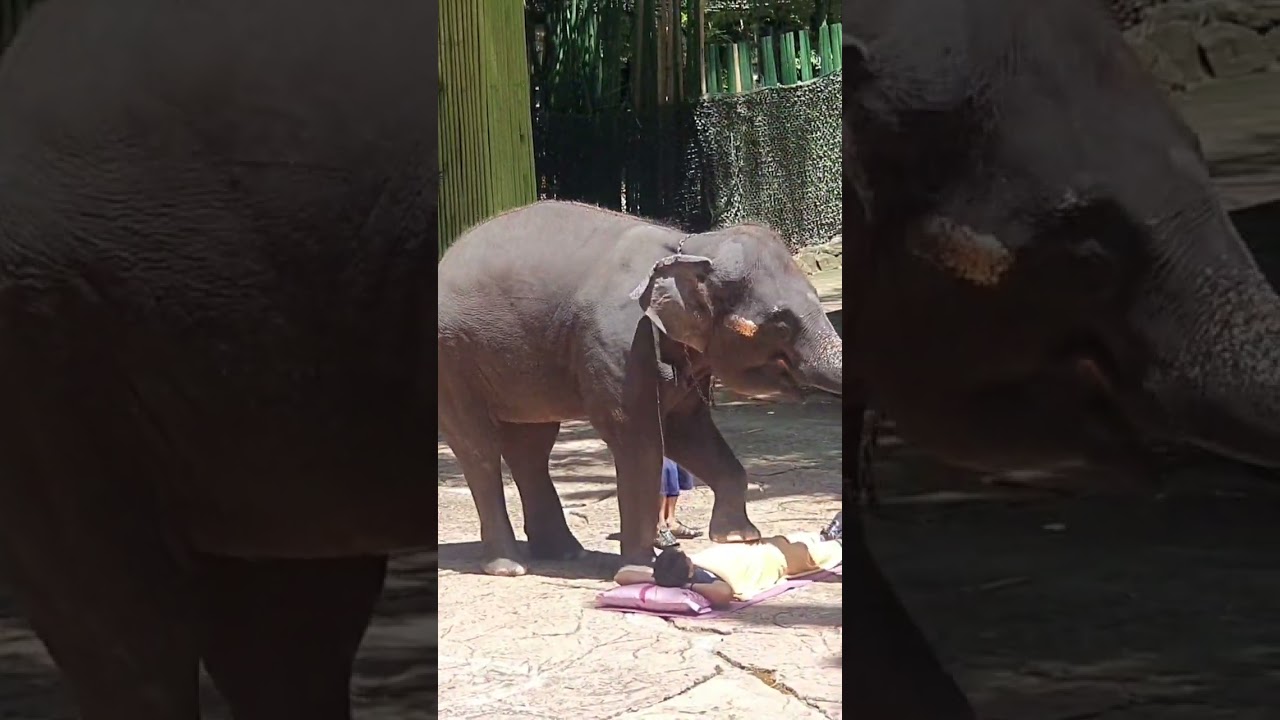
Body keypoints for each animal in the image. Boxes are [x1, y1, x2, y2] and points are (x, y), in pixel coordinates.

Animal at [437, 201, 843, 575]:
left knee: (531, 448)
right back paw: (509, 565)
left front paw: (738, 538)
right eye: (781, 324)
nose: (828, 530)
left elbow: (687, 430)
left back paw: (565, 554)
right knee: (480, 451)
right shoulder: (619, 346)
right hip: (453, 360)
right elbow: (640, 441)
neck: (690, 245)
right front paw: (640, 572)